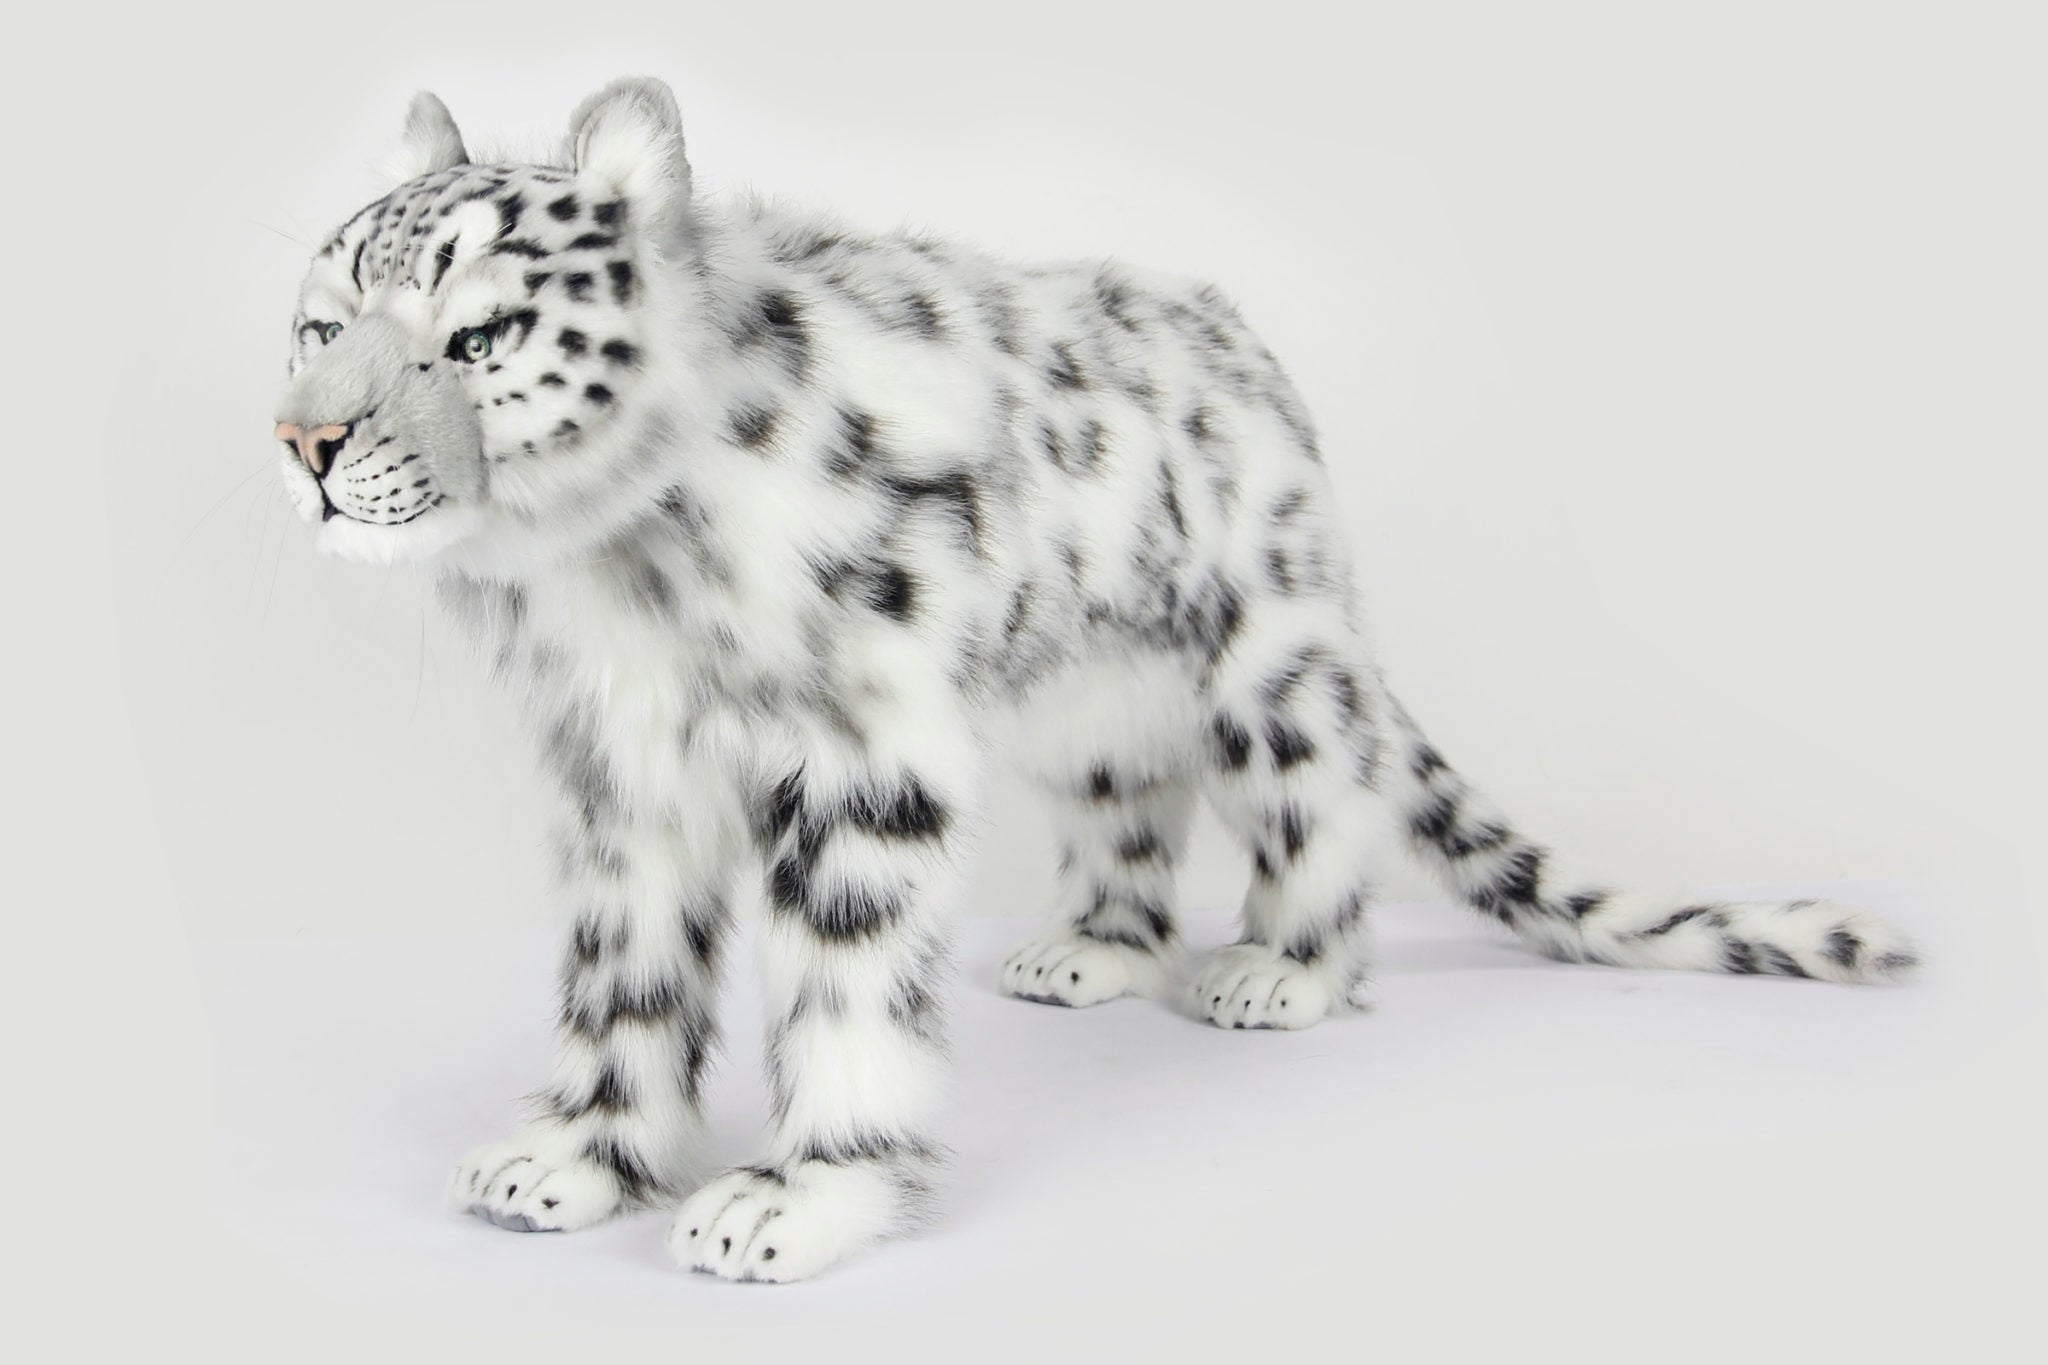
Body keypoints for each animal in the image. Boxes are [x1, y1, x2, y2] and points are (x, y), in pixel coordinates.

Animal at [272, 77, 1919, 1283]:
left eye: (479, 332)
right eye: (322, 320)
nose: (307, 444)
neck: (614, 574)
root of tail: (1256, 362)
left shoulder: (862, 754)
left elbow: (844, 980)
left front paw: (798, 1199)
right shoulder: (626, 771)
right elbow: (624, 978)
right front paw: (574, 1159)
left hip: (1273, 672)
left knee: (1327, 817)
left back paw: (1277, 973)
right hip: (1089, 710)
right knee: (1137, 810)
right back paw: (1092, 953)